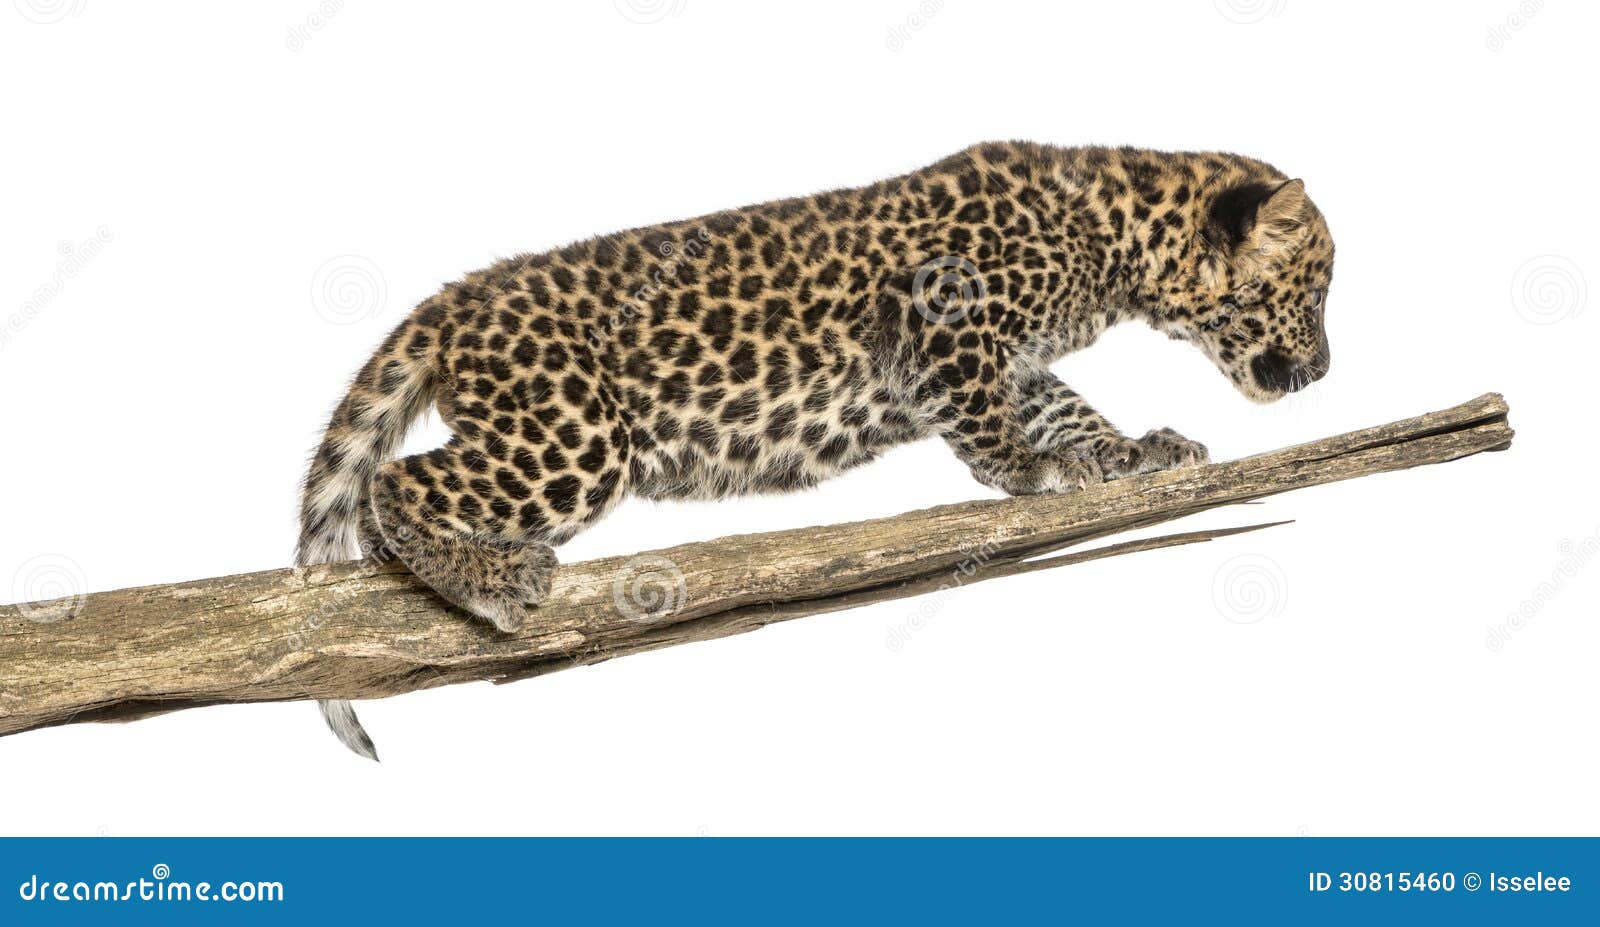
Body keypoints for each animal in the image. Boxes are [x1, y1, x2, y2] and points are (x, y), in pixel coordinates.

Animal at [296, 141, 1335, 758]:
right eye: (1318, 291)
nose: (1326, 367)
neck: (1120, 242)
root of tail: (451, 301)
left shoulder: (1020, 358)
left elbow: (1065, 408)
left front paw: (1130, 452)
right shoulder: (943, 313)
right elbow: (990, 418)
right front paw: (1031, 472)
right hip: (576, 435)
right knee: (397, 480)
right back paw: (488, 575)